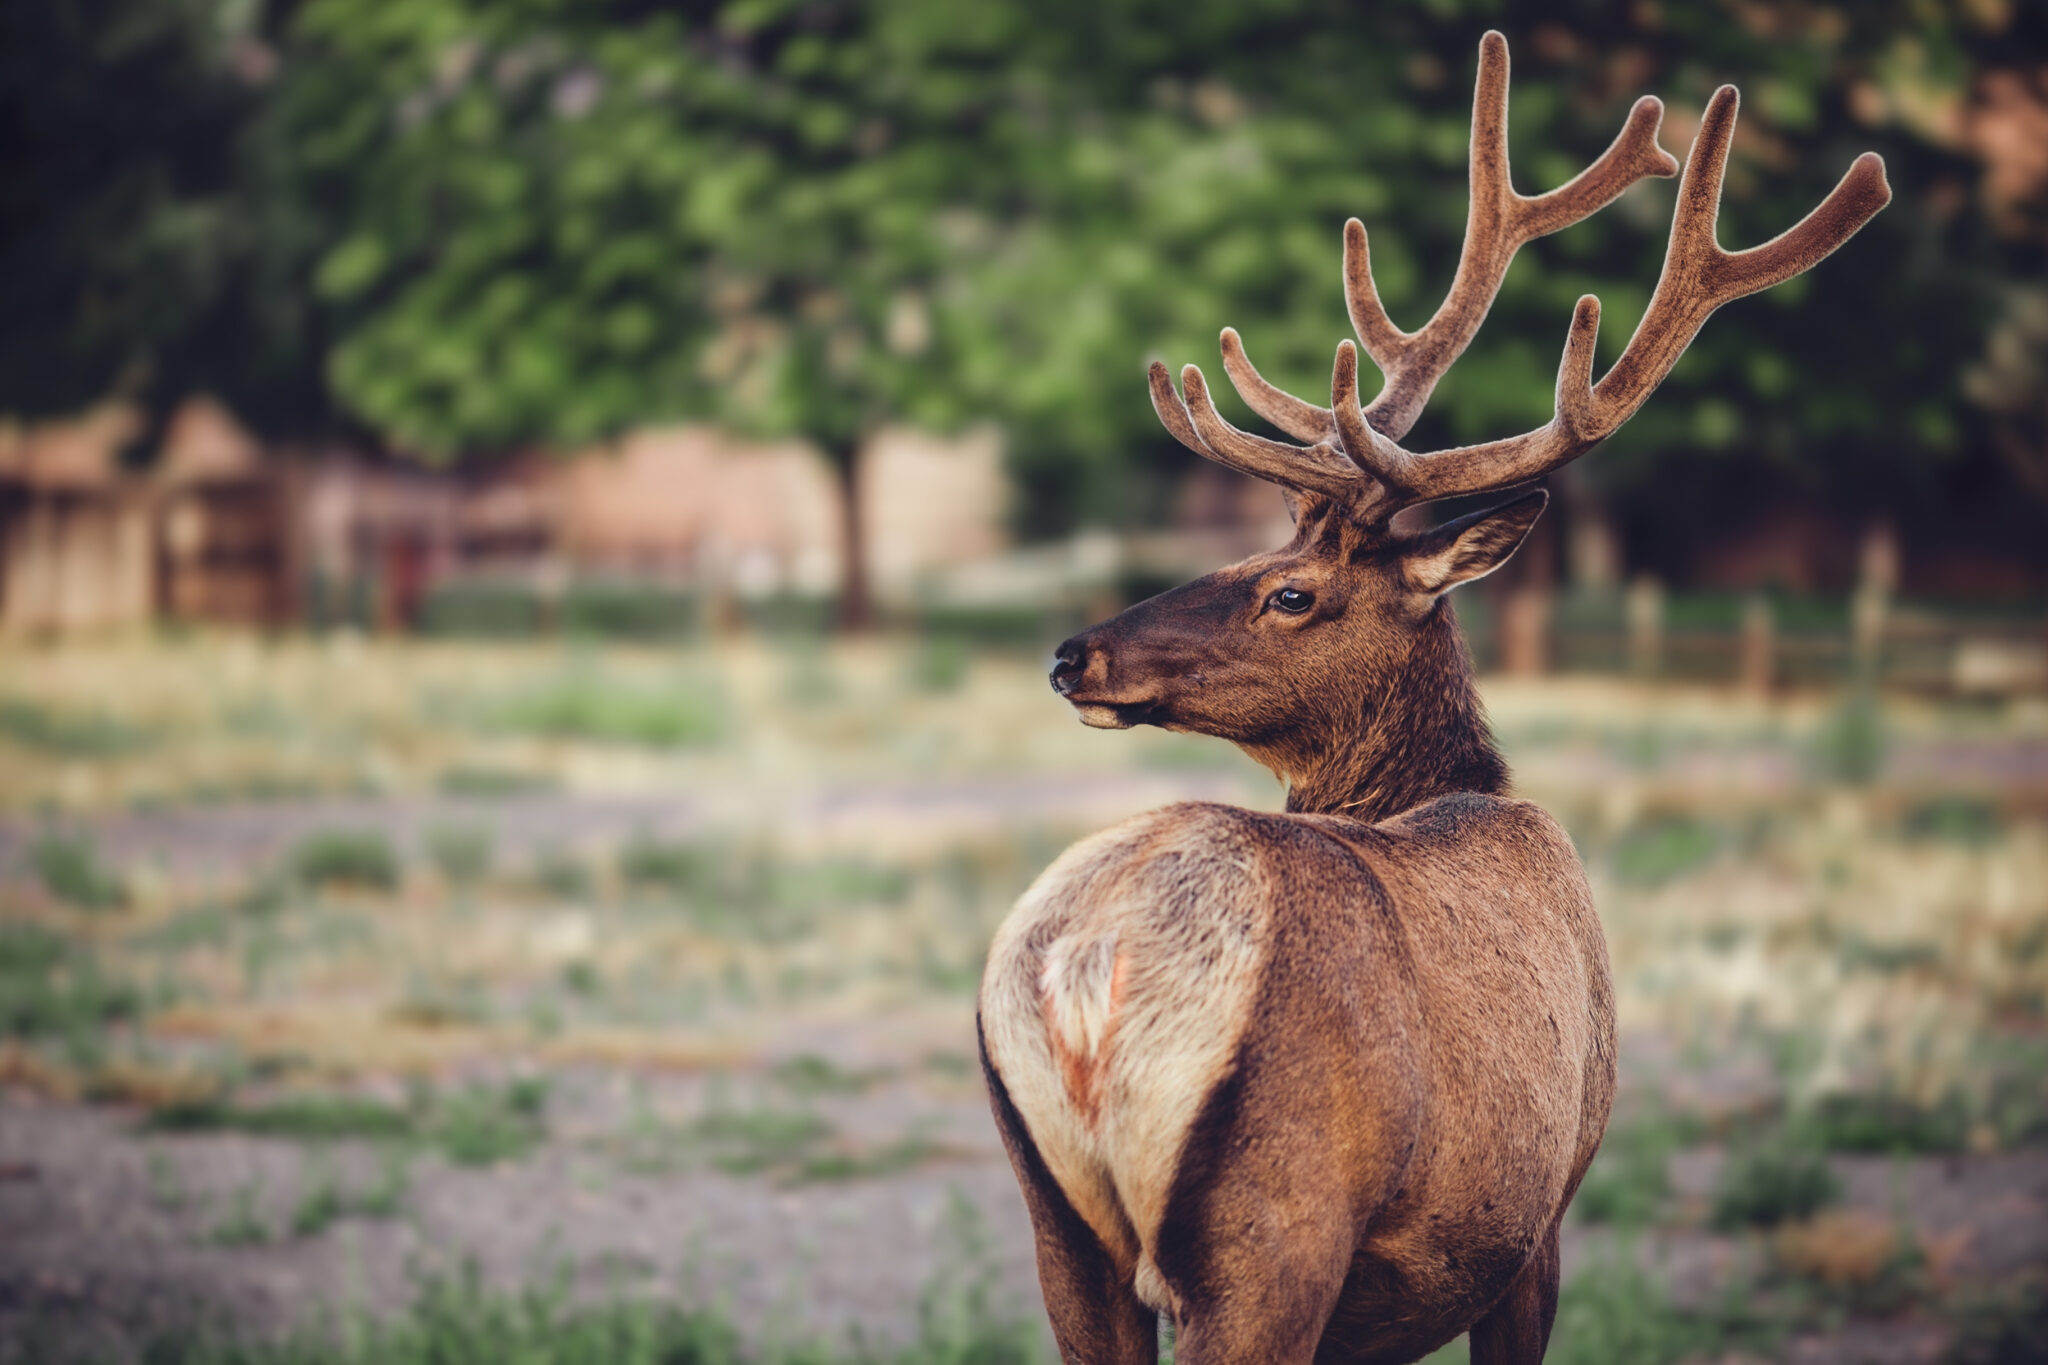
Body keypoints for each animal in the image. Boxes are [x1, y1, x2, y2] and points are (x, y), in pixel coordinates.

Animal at [978, 31, 1888, 1365]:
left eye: (1286, 588)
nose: (1070, 655)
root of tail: (1089, 978)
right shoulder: (1540, 1216)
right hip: (1271, 1232)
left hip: (1060, 1233)